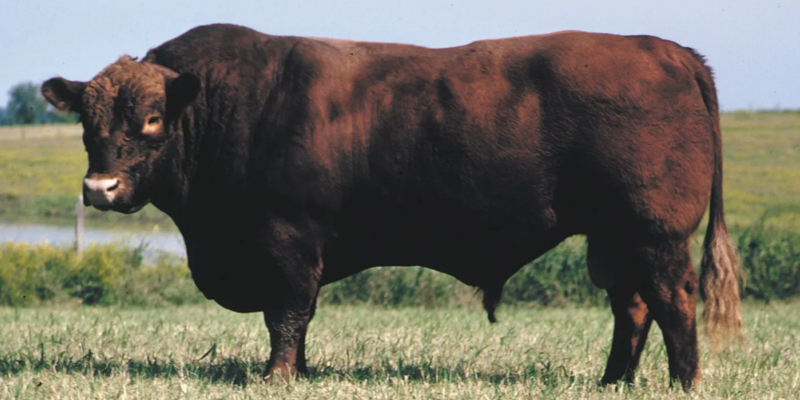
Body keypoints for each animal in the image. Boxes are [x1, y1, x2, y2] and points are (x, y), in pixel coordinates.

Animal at [41, 23, 742, 388]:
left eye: (152, 119)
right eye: (87, 122)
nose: (99, 189)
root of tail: (665, 48)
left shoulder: (287, 241)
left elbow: (287, 316)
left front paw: (279, 377)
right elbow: (291, 320)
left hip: (653, 231)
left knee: (672, 300)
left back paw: (683, 383)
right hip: (612, 236)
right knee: (631, 305)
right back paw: (611, 382)